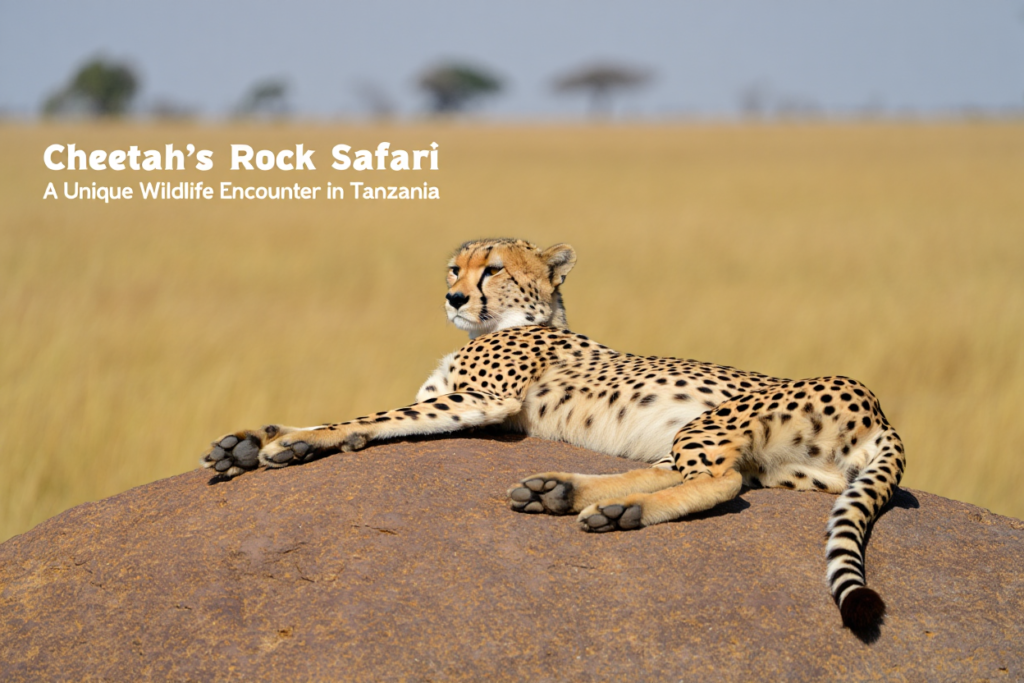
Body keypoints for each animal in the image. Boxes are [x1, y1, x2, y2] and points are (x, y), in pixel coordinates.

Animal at [201, 237, 906, 634]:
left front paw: (296, 440)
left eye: (490, 270)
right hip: (763, 457)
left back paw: (612, 508)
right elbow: (379, 414)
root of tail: (877, 405)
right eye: (454, 269)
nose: (454, 298)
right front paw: (251, 440)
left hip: (715, 420)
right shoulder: (453, 400)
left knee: (720, 479)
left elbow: (369, 417)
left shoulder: (485, 402)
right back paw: (569, 494)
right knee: (686, 471)